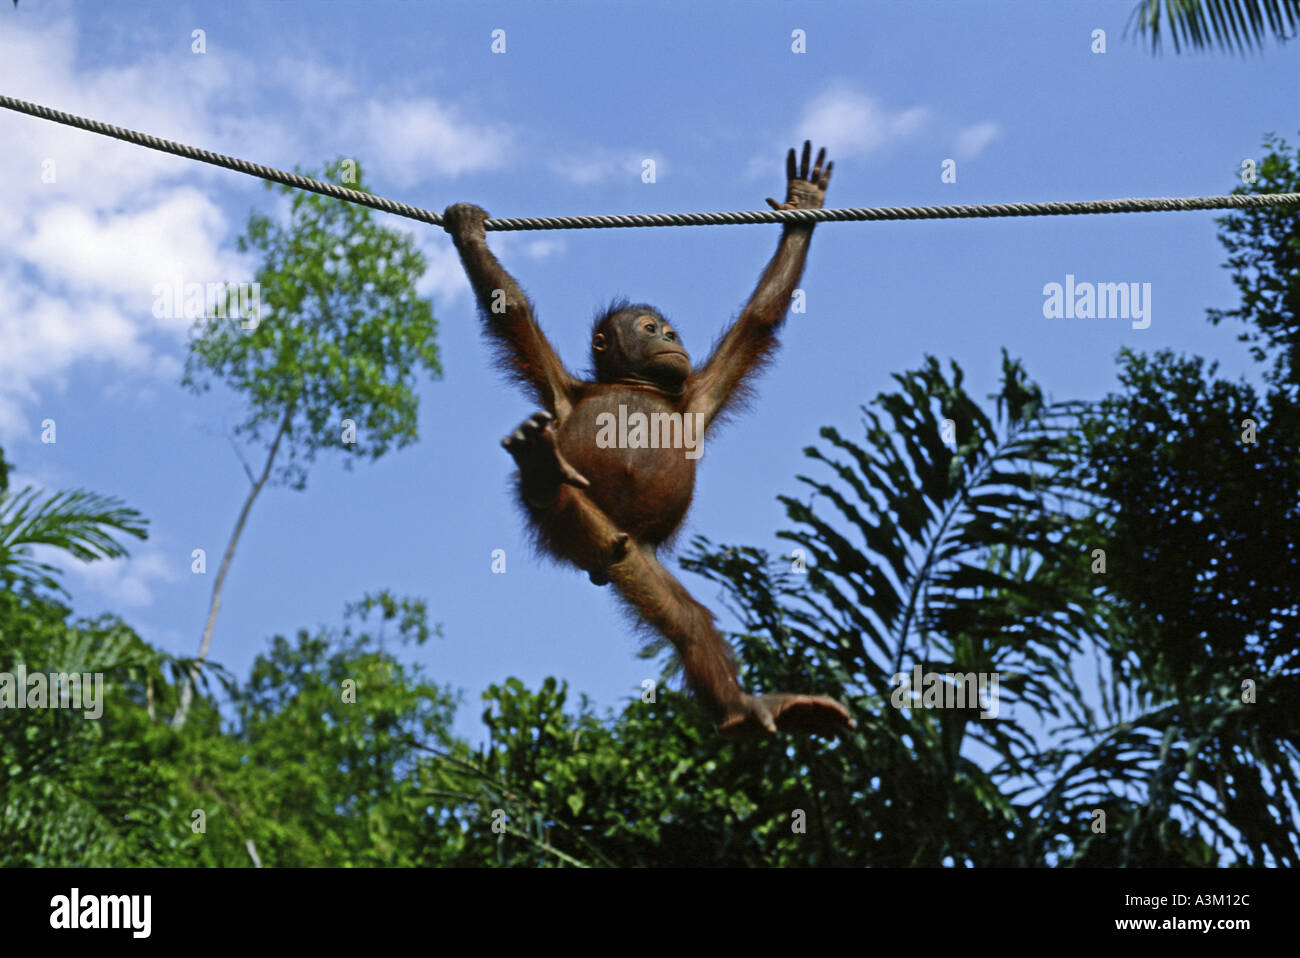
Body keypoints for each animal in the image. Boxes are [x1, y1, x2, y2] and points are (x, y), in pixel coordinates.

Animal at [445, 141, 853, 739]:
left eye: (667, 330)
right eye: (649, 329)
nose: (672, 338)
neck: (638, 384)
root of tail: (599, 557)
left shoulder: (696, 398)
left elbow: (759, 318)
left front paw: (802, 206)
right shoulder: (563, 393)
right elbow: (511, 311)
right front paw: (470, 233)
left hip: (633, 555)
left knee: (687, 623)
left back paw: (745, 708)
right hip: (580, 526)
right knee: (559, 503)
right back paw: (540, 466)